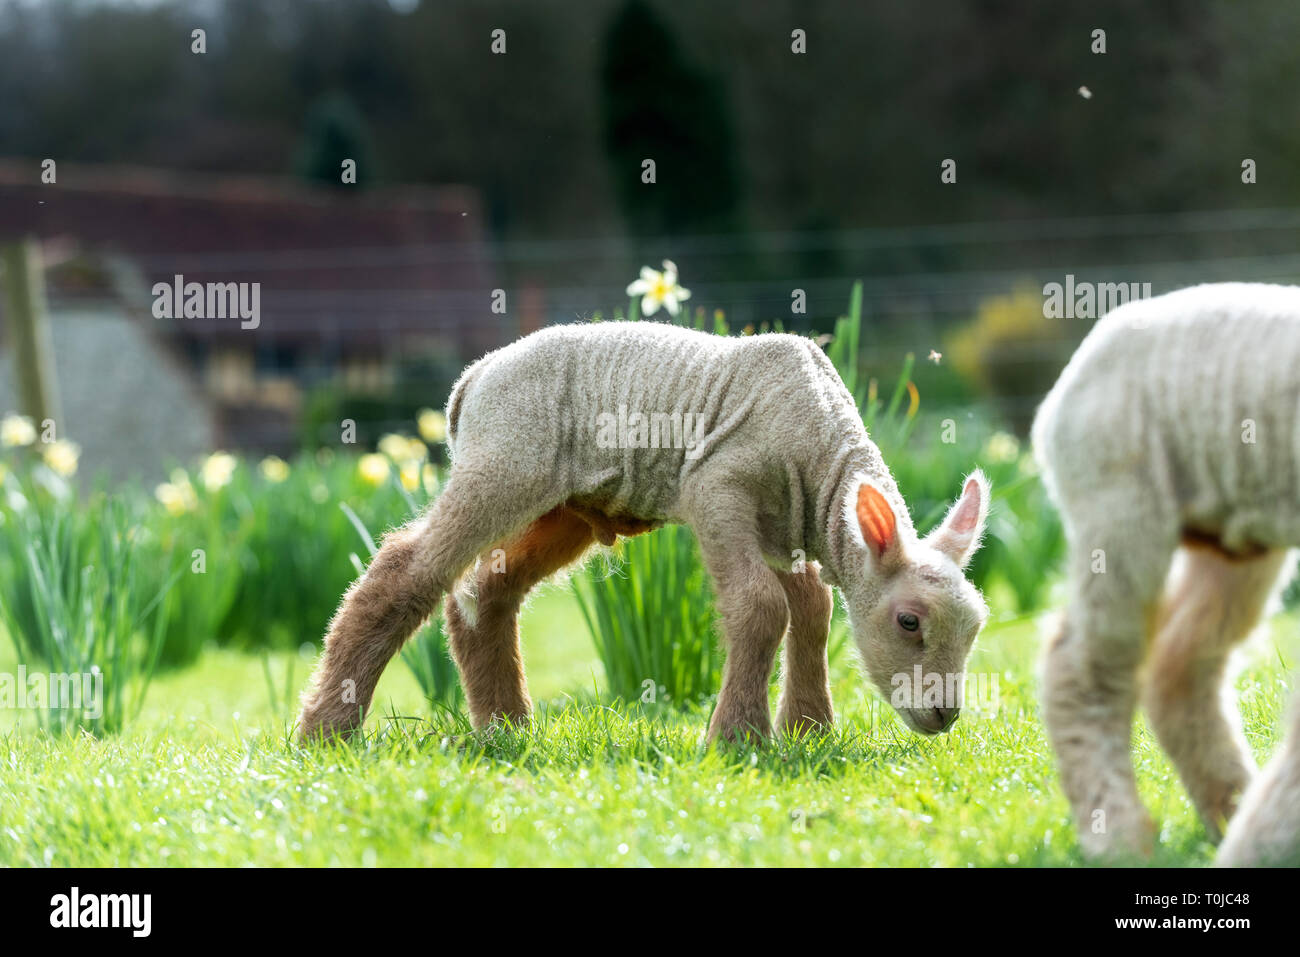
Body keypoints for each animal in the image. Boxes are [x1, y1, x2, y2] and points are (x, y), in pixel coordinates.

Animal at [298, 320, 991, 743]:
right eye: (909, 622)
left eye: (977, 628)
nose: (945, 714)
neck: (822, 460)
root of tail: (471, 380)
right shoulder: (718, 486)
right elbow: (761, 606)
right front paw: (738, 739)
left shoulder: (786, 527)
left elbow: (814, 611)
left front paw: (808, 729)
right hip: (503, 464)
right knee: (408, 567)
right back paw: (327, 730)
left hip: (565, 506)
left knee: (483, 592)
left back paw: (506, 727)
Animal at [1032, 281, 1300, 861]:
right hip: (1118, 505)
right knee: (1083, 664)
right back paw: (1120, 836)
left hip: (1233, 537)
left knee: (1181, 666)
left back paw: (1229, 808)